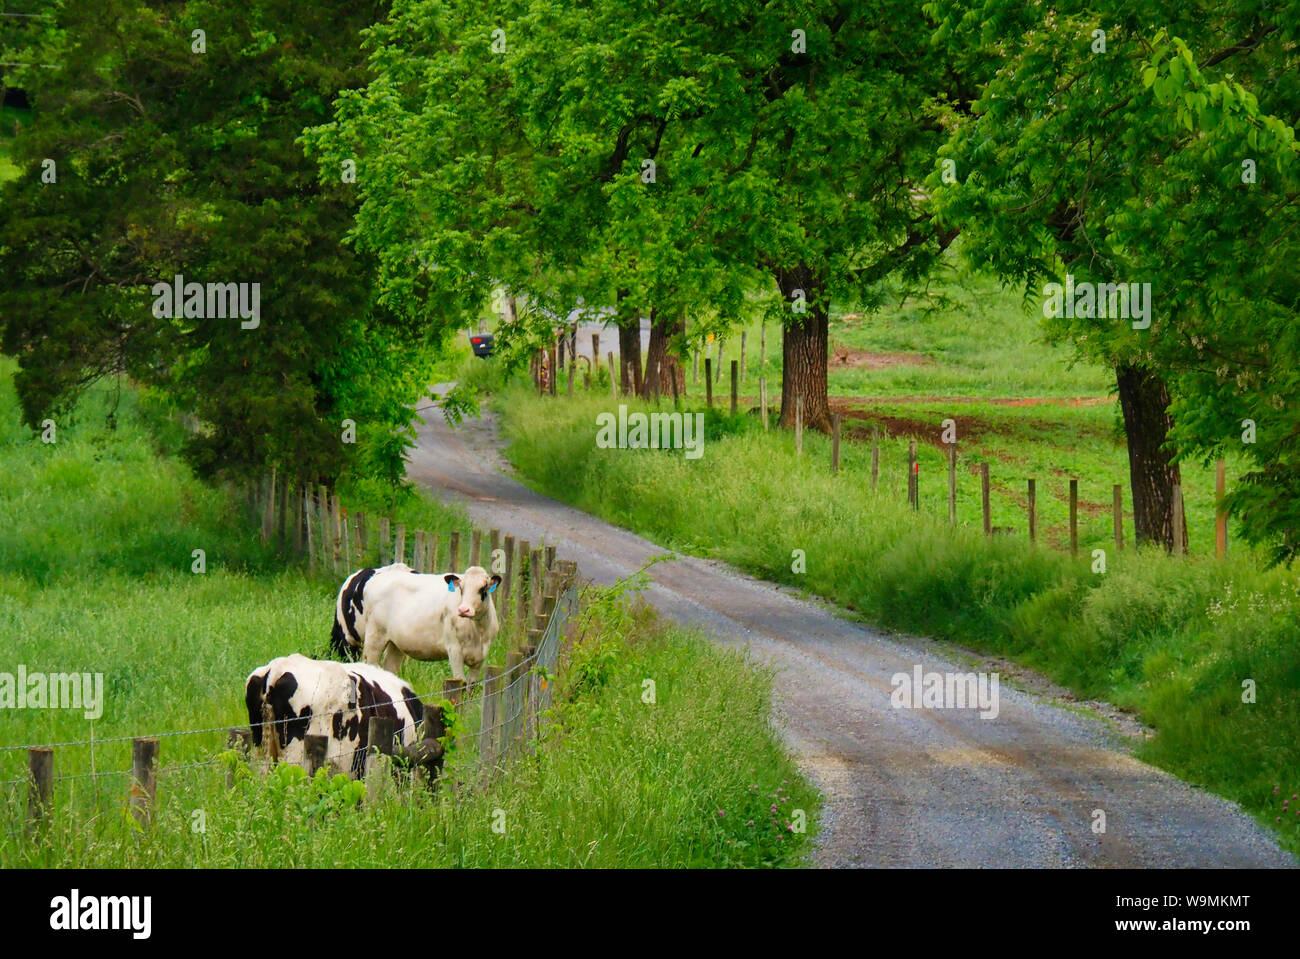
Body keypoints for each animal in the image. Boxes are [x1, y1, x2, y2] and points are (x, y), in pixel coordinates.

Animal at [330, 564, 502, 683]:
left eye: (483, 590)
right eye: (461, 589)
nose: (464, 609)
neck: (478, 632)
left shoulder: (481, 656)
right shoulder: (454, 650)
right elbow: (461, 683)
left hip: (395, 644)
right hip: (370, 639)